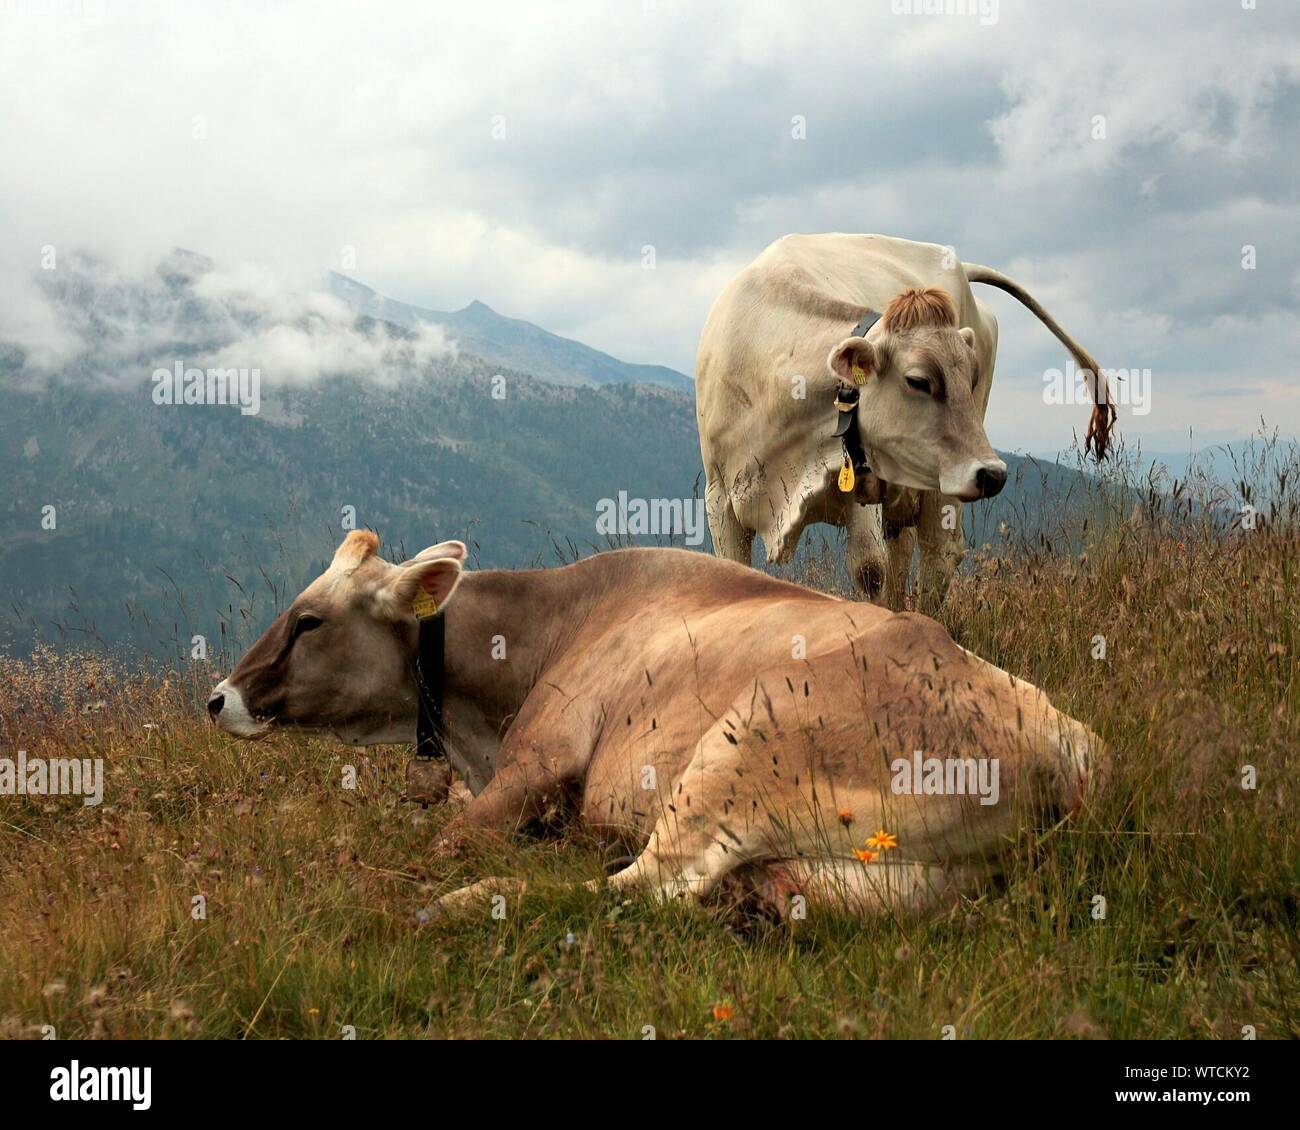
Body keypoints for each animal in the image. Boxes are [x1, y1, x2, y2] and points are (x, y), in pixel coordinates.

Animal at [209, 530, 1103, 920]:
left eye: (309, 621)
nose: (219, 697)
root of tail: (1063, 753)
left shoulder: (542, 758)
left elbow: (446, 840)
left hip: (741, 746)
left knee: (647, 887)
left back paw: (466, 902)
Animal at [696, 233, 1115, 609]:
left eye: (970, 377)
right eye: (918, 381)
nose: (994, 474)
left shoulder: (860, 480)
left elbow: (870, 570)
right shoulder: (719, 498)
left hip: (944, 477)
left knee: (937, 555)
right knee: (903, 549)